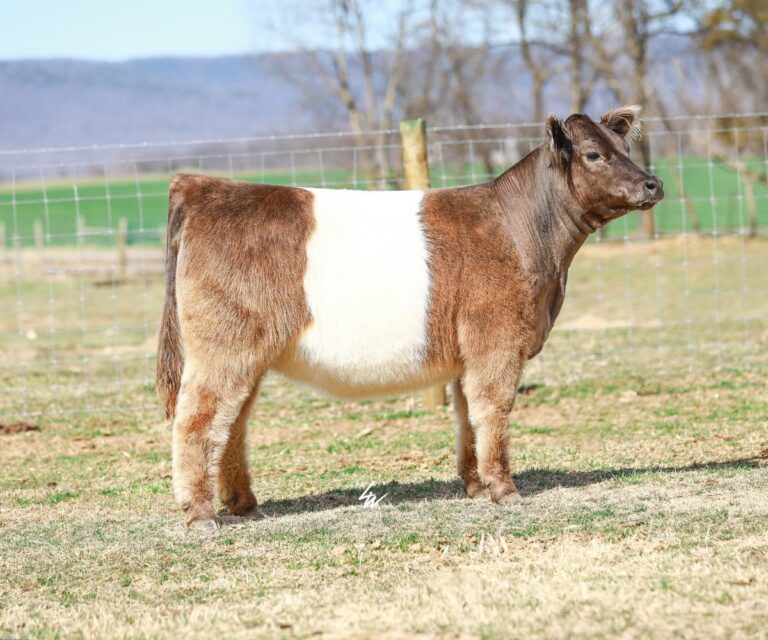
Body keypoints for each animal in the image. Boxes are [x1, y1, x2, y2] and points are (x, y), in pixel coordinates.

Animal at [156, 106, 664, 530]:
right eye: (594, 154)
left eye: (626, 149)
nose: (653, 184)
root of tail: (202, 186)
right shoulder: (497, 338)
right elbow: (493, 408)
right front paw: (504, 489)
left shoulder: (466, 352)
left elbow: (466, 415)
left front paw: (474, 485)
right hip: (222, 348)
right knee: (197, 420)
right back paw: (201, 515)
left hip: (247, 355)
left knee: (232, 424)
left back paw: (244, 504)